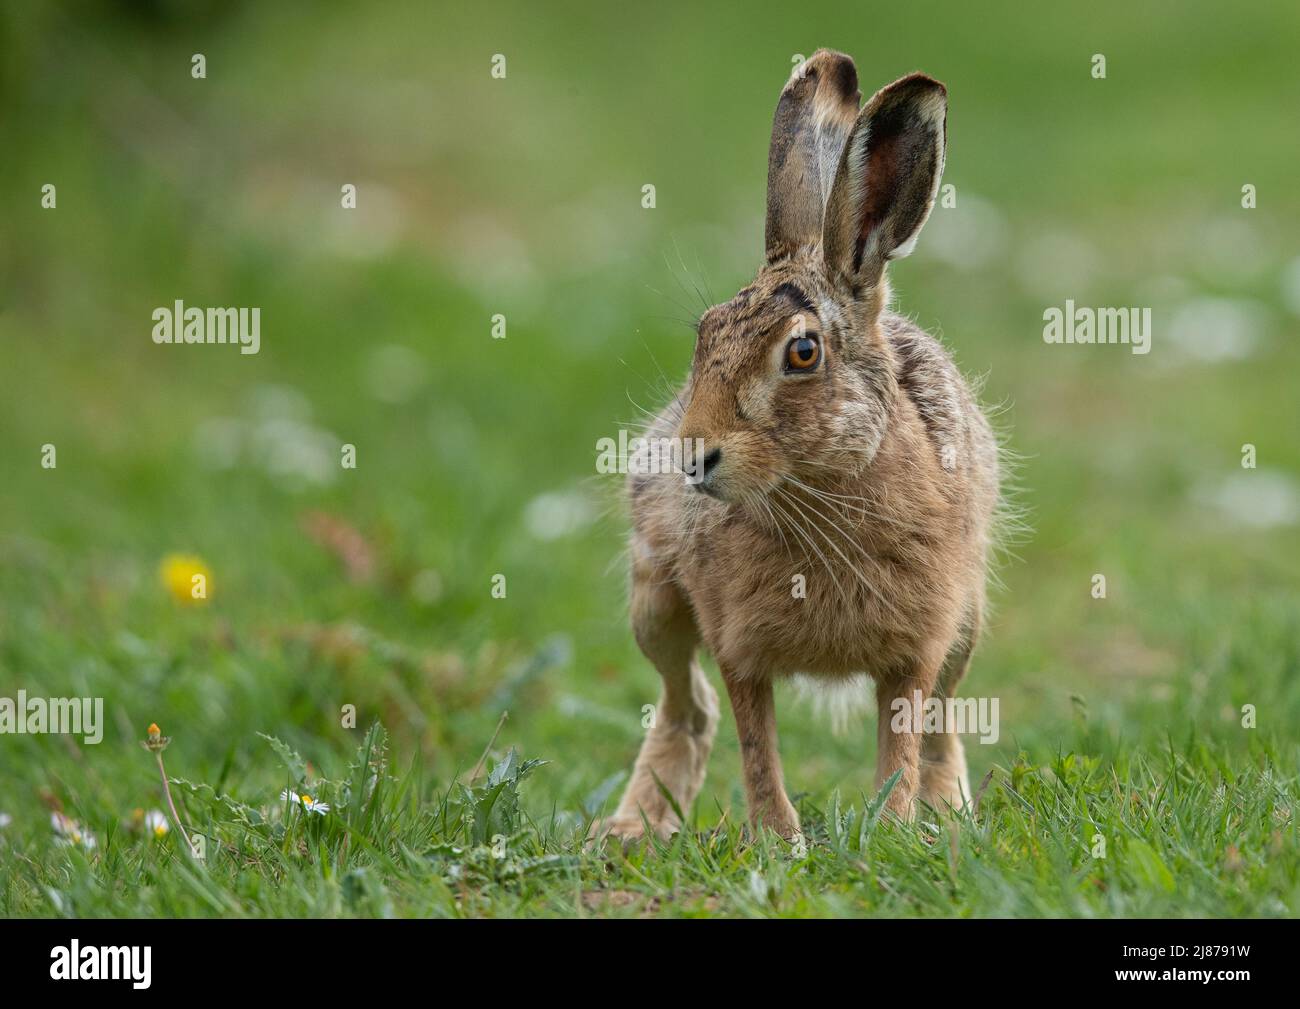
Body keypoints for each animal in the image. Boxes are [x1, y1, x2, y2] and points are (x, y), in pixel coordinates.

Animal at [594, 49, 1001, 843]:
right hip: (654, 601)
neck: (819, 488)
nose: (691, 456)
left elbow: (904, 739)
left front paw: (894, 829)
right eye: (704, 336)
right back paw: (633, 828)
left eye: (803, 353)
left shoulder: (922, 642)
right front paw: (780, 842)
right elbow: (756, 745)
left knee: (942, 723)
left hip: (968, 623)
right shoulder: (738, 644)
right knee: (687, 706)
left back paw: (947, 816)